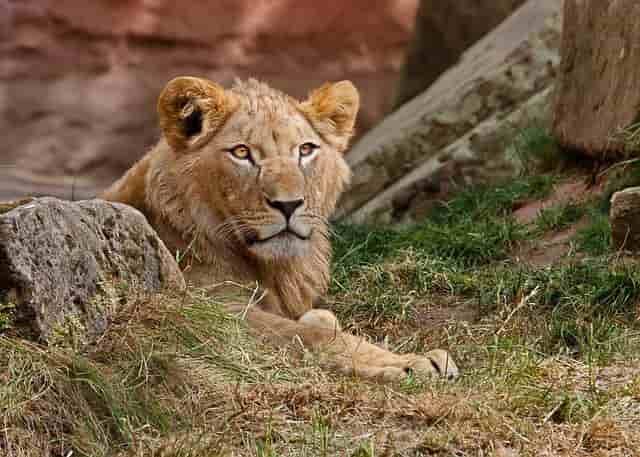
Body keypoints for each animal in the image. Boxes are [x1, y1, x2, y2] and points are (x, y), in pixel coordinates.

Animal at [101, 76, 458, 382]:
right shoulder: (210, 310)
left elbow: (320, 322)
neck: (273, 268)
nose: (289, 205)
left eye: (305, 150)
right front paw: (413, 362)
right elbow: (315, 336)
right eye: (242, 152)